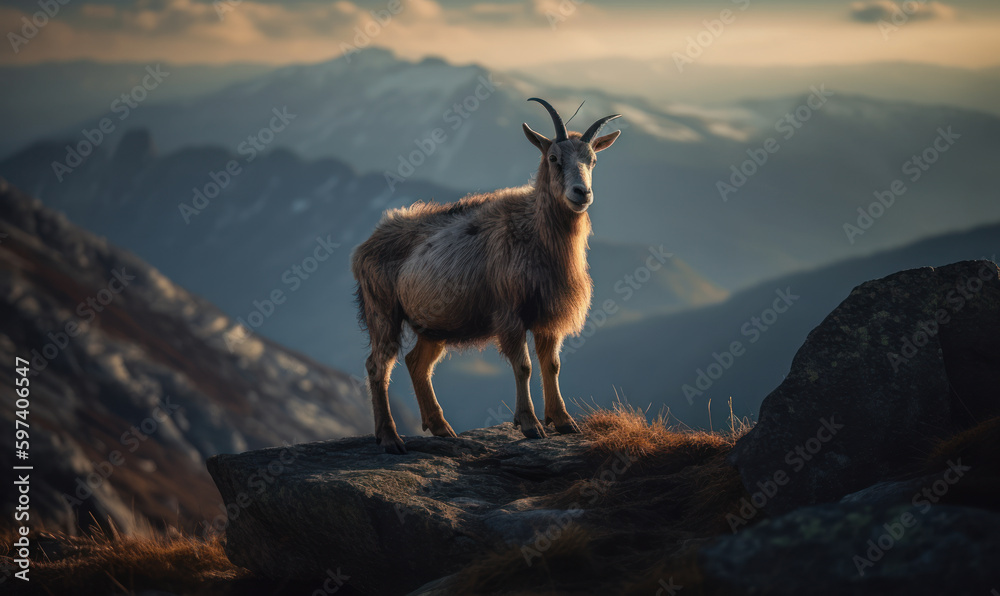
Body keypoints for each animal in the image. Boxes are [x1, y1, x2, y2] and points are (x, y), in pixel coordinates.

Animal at [351, 98, 621, 454]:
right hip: (382, 311)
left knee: (416, 362)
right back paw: (389, 437)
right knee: (378, 365)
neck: (536, 234)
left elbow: (552, 364)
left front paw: (563, 421)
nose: (581, 193)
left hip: (432, 324)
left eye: (592, 160)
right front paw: (530, 424)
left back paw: (441, 427)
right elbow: (524, 365)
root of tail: (365, 246)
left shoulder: (548, 314)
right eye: (553, 158)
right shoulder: (510, 312)